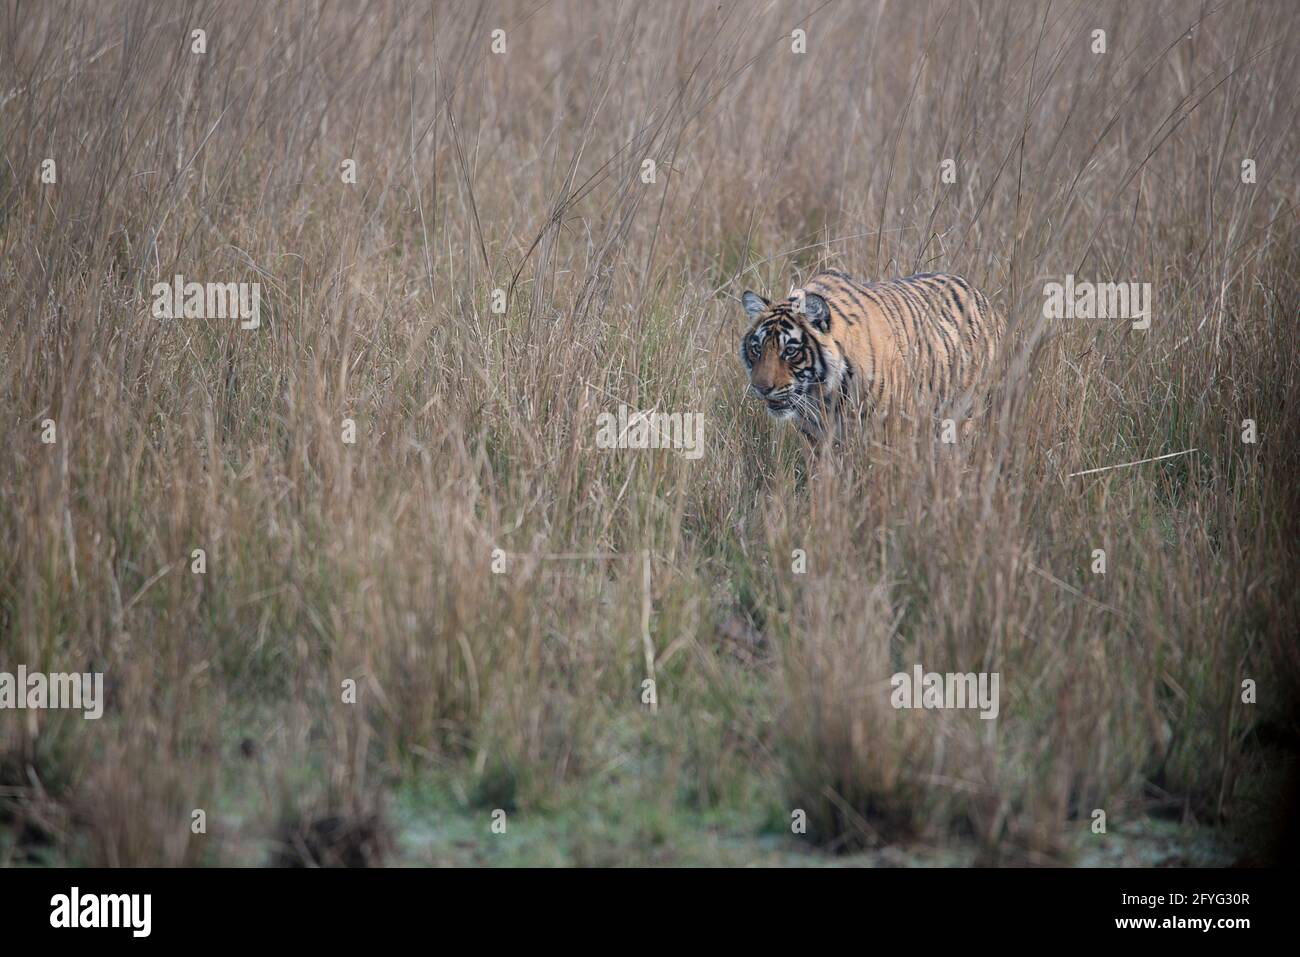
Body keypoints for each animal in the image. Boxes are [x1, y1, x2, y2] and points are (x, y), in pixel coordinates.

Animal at [737, 269, 1003, 444]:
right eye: (757, 349)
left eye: (790, 351)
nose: (761, 388)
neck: (825, 397)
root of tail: (982, 296)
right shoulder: (815, 438)